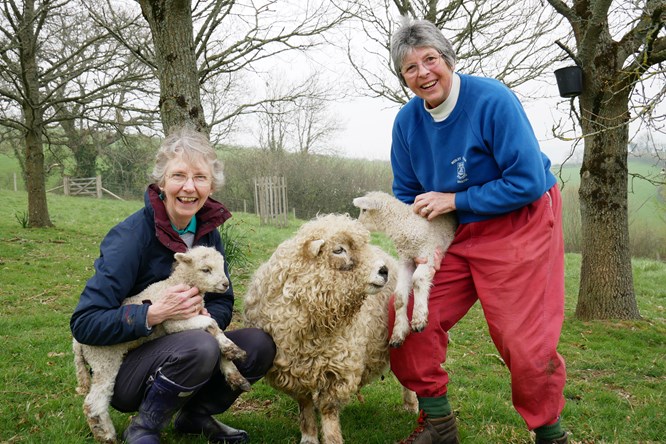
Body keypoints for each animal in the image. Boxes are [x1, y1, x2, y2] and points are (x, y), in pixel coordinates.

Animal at [243, 213, 417, 444]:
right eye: (338, 250)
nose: (383, 271)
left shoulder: (338, 365)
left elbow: (329, 410)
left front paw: (332, 438)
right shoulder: (292, 367)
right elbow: (305, 405)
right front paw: (309, 437)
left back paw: (411, 405)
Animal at [353, 191, 457, 347]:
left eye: (364, 210)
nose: (358, 226)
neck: (405, 223)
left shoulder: (428, 252)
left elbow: (418, 279)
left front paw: (419, 318)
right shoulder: (406, 260)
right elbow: (399, 296)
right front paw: (398, 332)